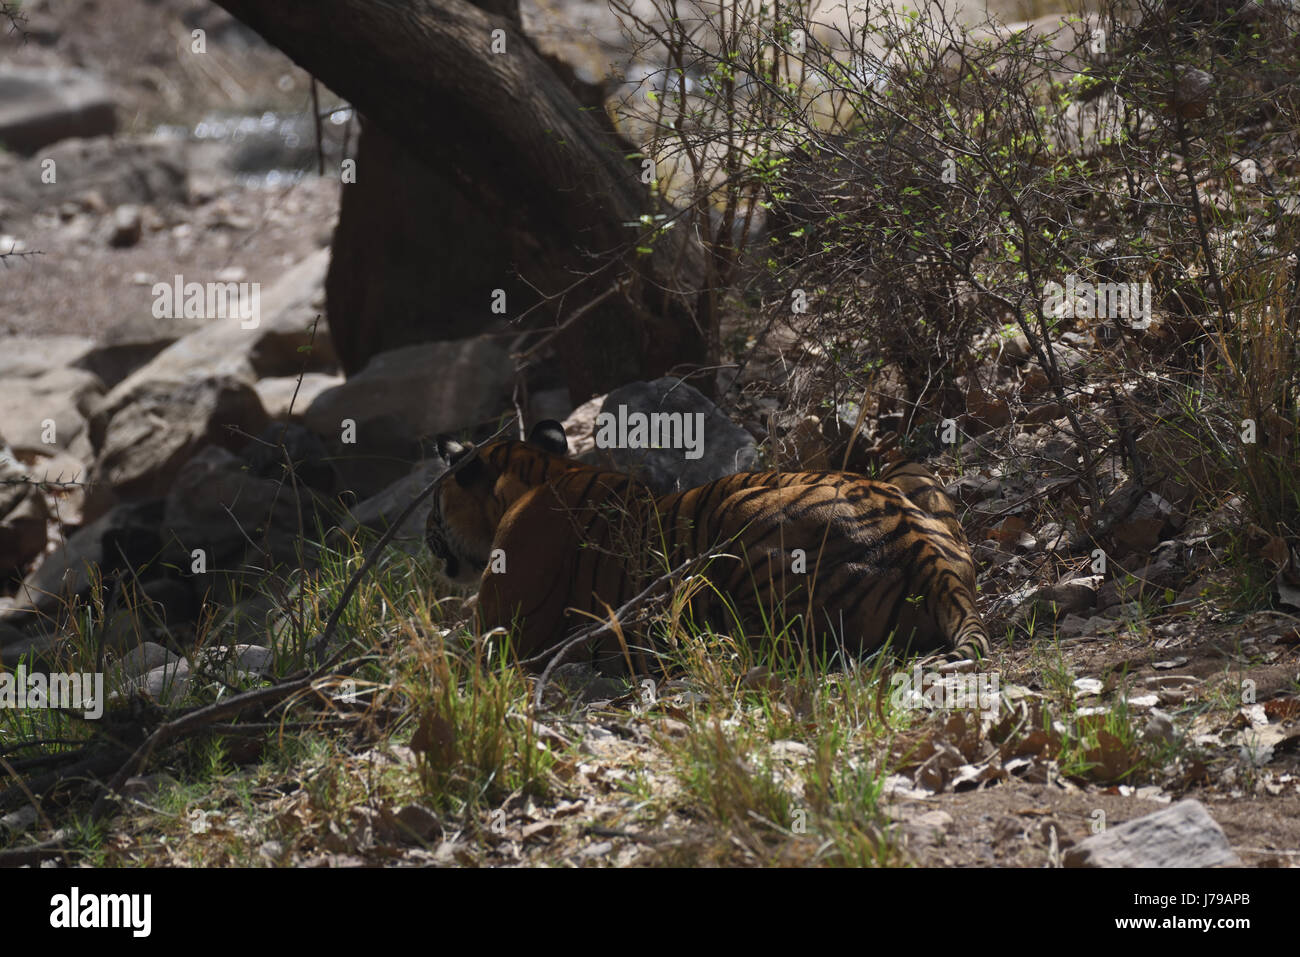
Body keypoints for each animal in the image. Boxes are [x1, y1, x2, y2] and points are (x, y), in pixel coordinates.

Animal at [427, 420, 987, 671]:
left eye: (435, 499)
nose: (428, 538)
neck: (541, 471)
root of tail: (927, 556)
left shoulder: (502, 634)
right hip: (907, 466)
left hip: (735, 518)